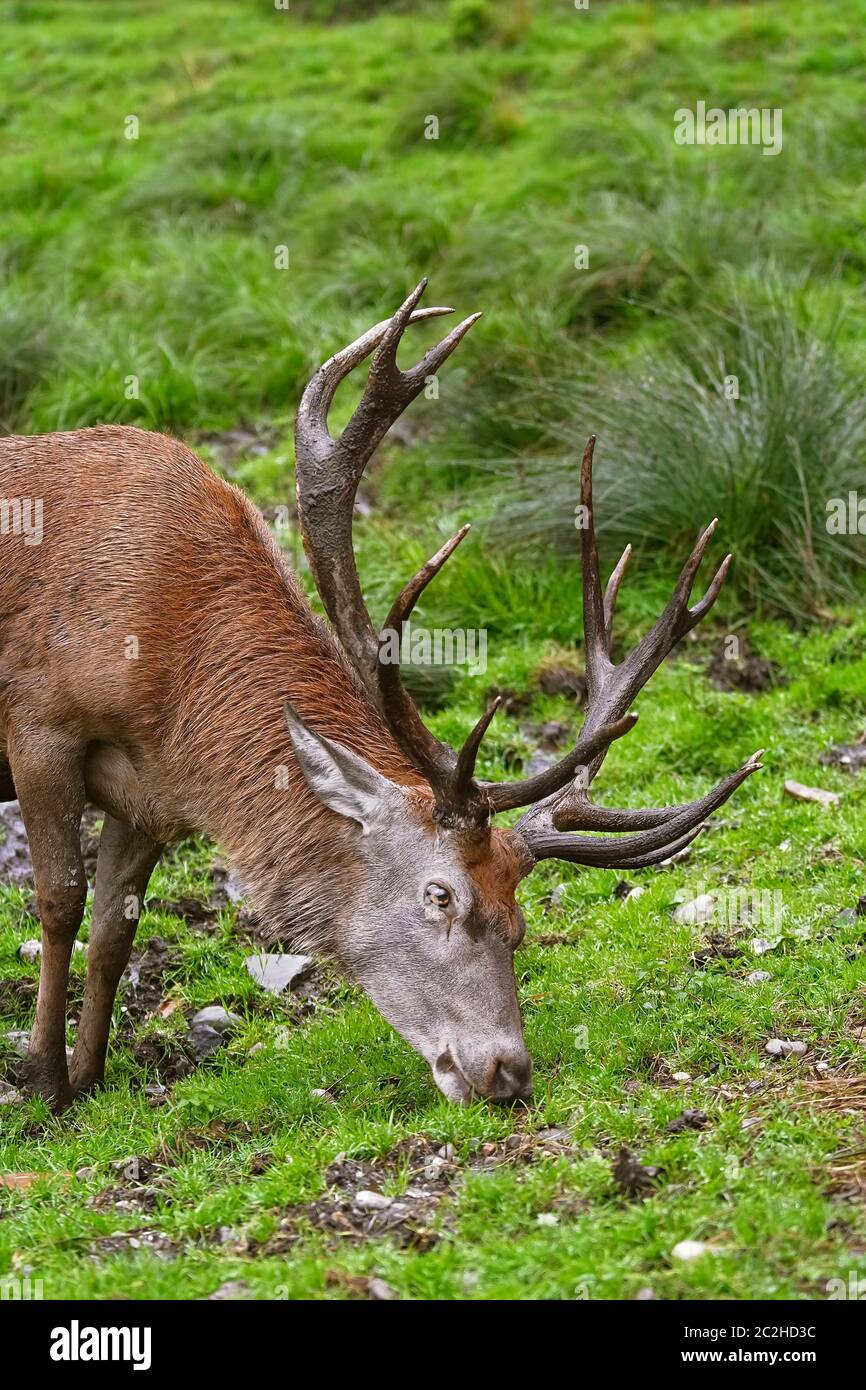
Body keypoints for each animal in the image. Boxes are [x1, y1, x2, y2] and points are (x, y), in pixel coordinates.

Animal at [0, 280, 762, 1111]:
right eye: (442, 895)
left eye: (519, 923)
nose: (508, 1072)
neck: (165, 672)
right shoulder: (40, 726)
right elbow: (60, 898)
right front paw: (42, 1080)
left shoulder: (148, 796)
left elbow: (115, 928)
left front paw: (88, 1076)